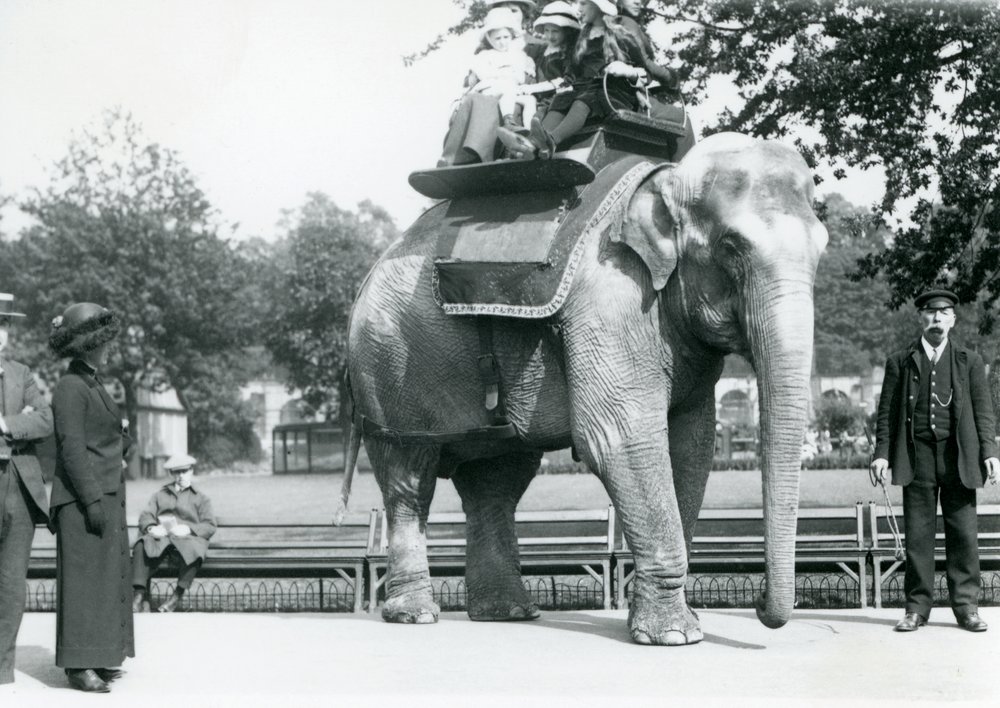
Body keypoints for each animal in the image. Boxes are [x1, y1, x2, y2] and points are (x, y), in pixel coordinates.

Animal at [340, 132, 828, 645]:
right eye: (732, 247)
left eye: (823, 249)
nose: (758, 603)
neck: (665, 180)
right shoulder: (609, 299)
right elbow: (622, 439)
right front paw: (675, 636)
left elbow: (692, 446)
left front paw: (674, 624)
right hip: (387, 365)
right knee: (409, 479)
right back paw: (416, 615)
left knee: (496, 481)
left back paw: (509, 613)